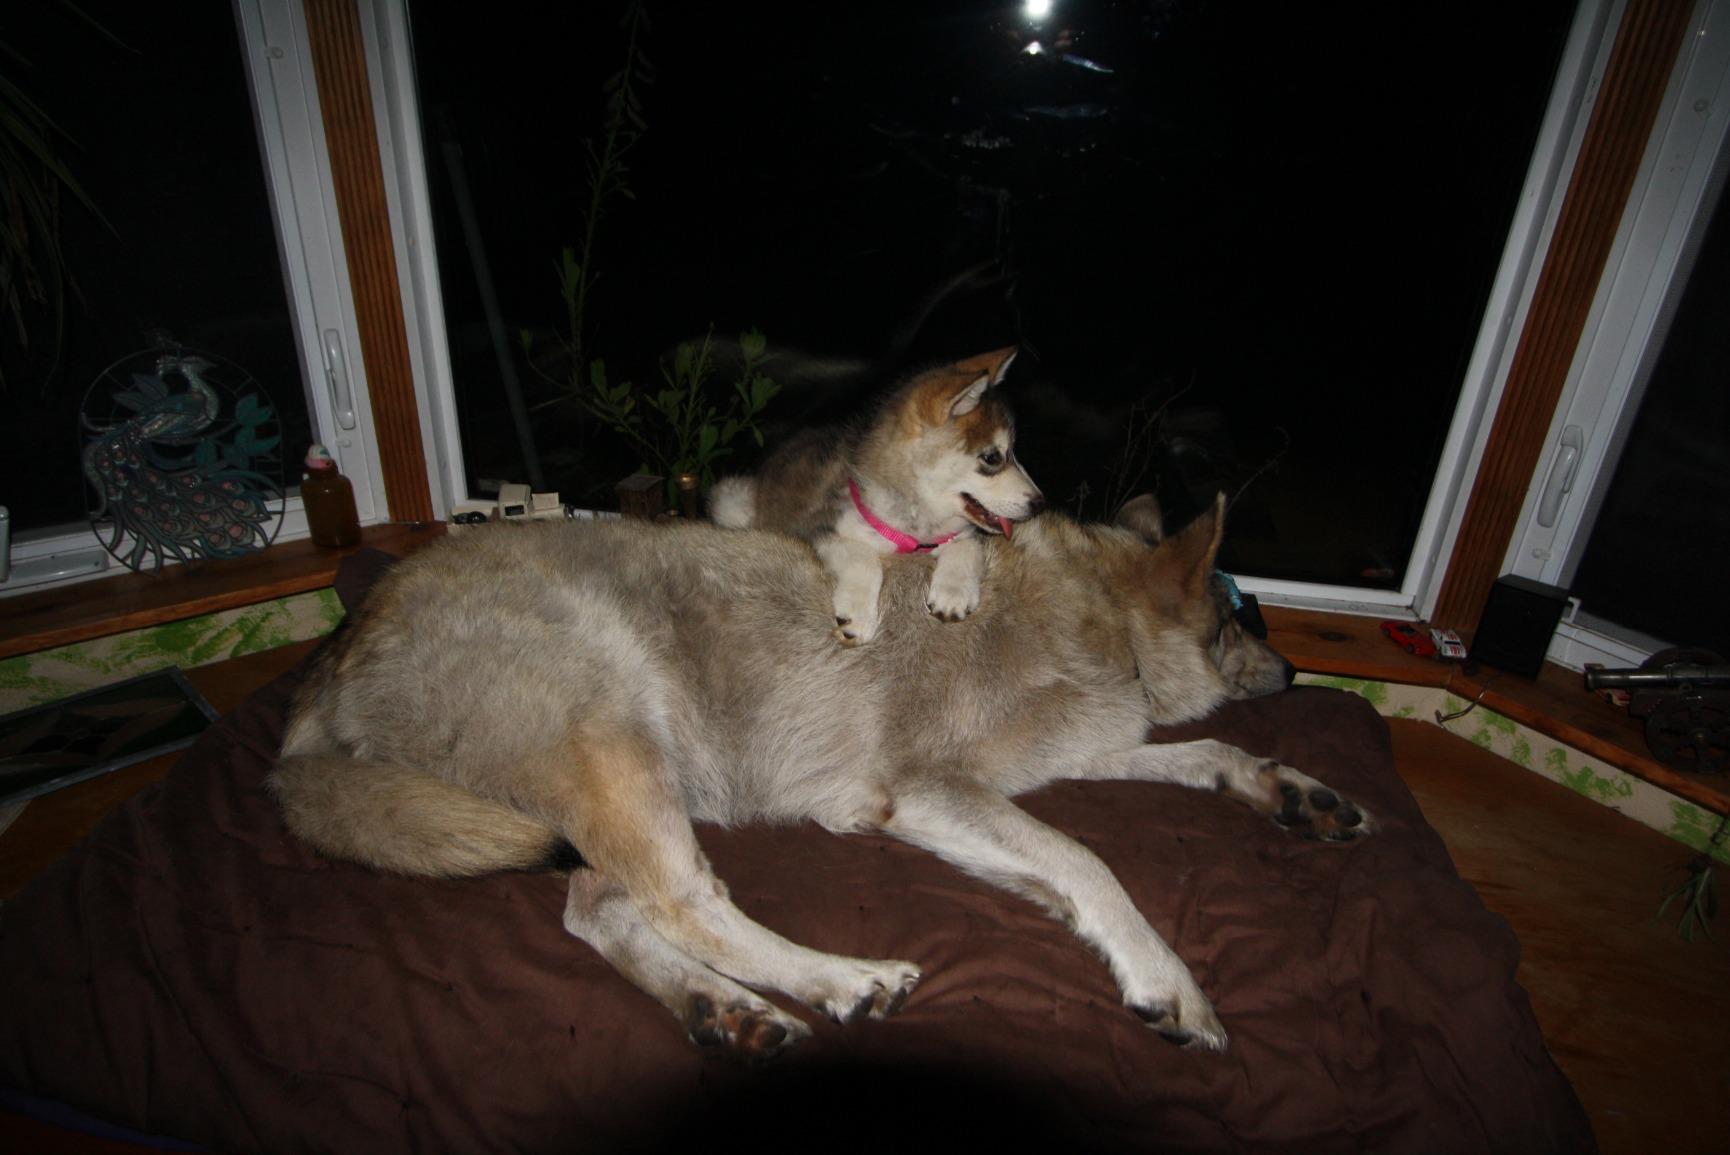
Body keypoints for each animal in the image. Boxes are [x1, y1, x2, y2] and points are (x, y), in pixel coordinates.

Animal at [271, 496, 1369, 1059]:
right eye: (1239, 618)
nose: (1295, 674)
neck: (1097, 619)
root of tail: (338, 651)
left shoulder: (1069, 761)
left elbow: (1207, 757)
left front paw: (1295, 792)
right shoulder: (925, 791)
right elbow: (1092, 863)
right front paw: (1167, 982)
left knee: (600, 912)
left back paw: (725, 1011)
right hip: (621, 745)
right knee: (683, 903)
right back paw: (845, 982)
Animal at [709, 347, 1044, 645]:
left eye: (1013, 452)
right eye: (991, 457)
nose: (1040, 504)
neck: (917, 521)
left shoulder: (957, 534)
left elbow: (968, 545)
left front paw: (954, 591)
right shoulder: (819, 529)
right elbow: (864, 558)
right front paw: (858, 615)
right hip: (731, 501)